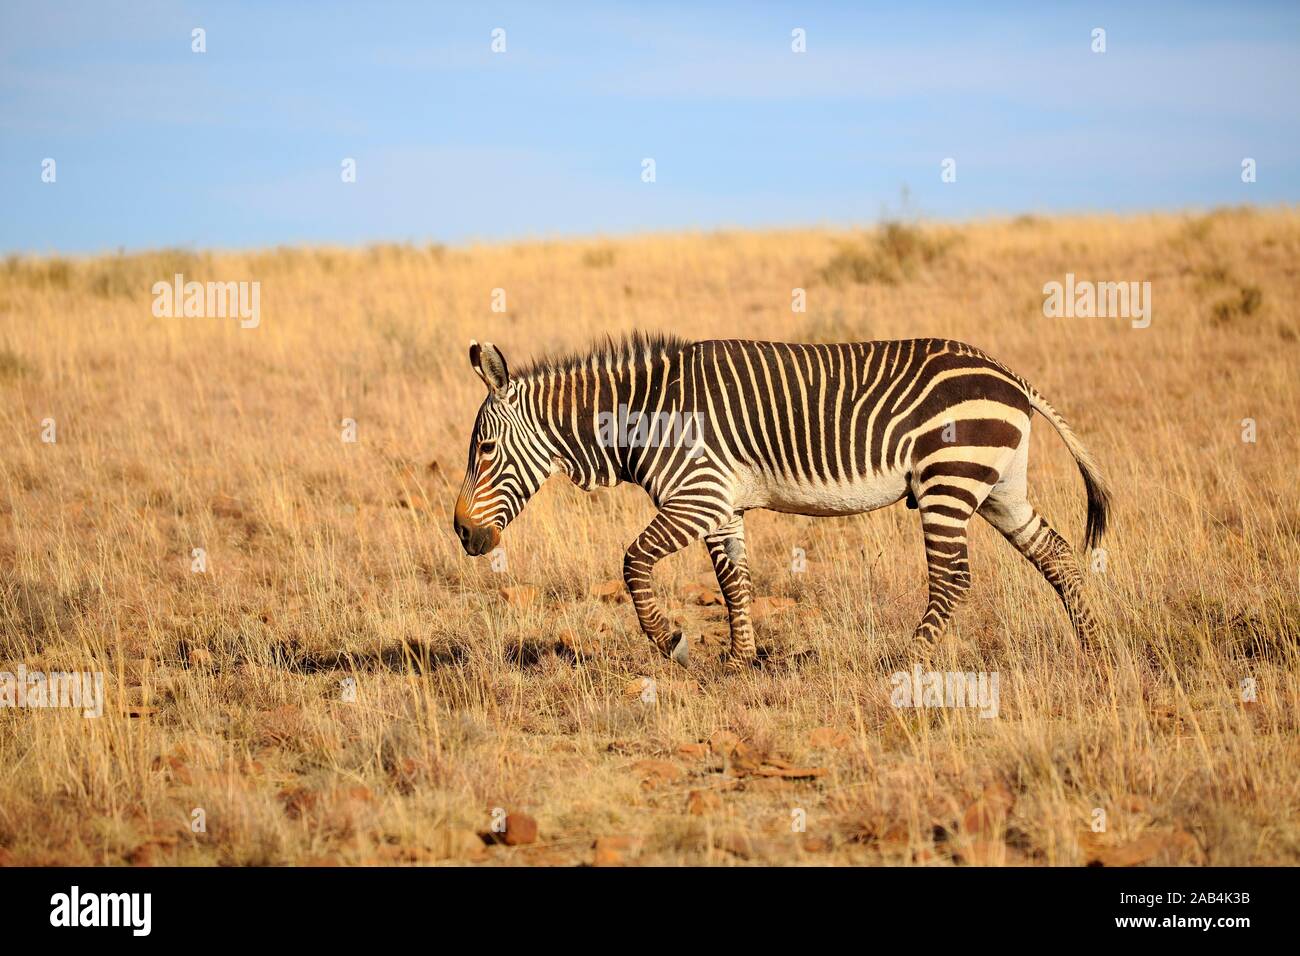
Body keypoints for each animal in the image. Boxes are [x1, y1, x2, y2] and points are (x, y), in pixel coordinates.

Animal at [453, 333, 1109, 671]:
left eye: (484, 449)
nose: (461, 534)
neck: (643, 414)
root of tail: (1010, 376)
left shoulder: (696, 494)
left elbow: (633, 562)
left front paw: (672, 642)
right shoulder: (721, 506)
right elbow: (733, 584)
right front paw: (740, 661)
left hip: (948, 479)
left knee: (953, 579)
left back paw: (903, 661)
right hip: (998, 486)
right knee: (1055, 554)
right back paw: (1095, 649)